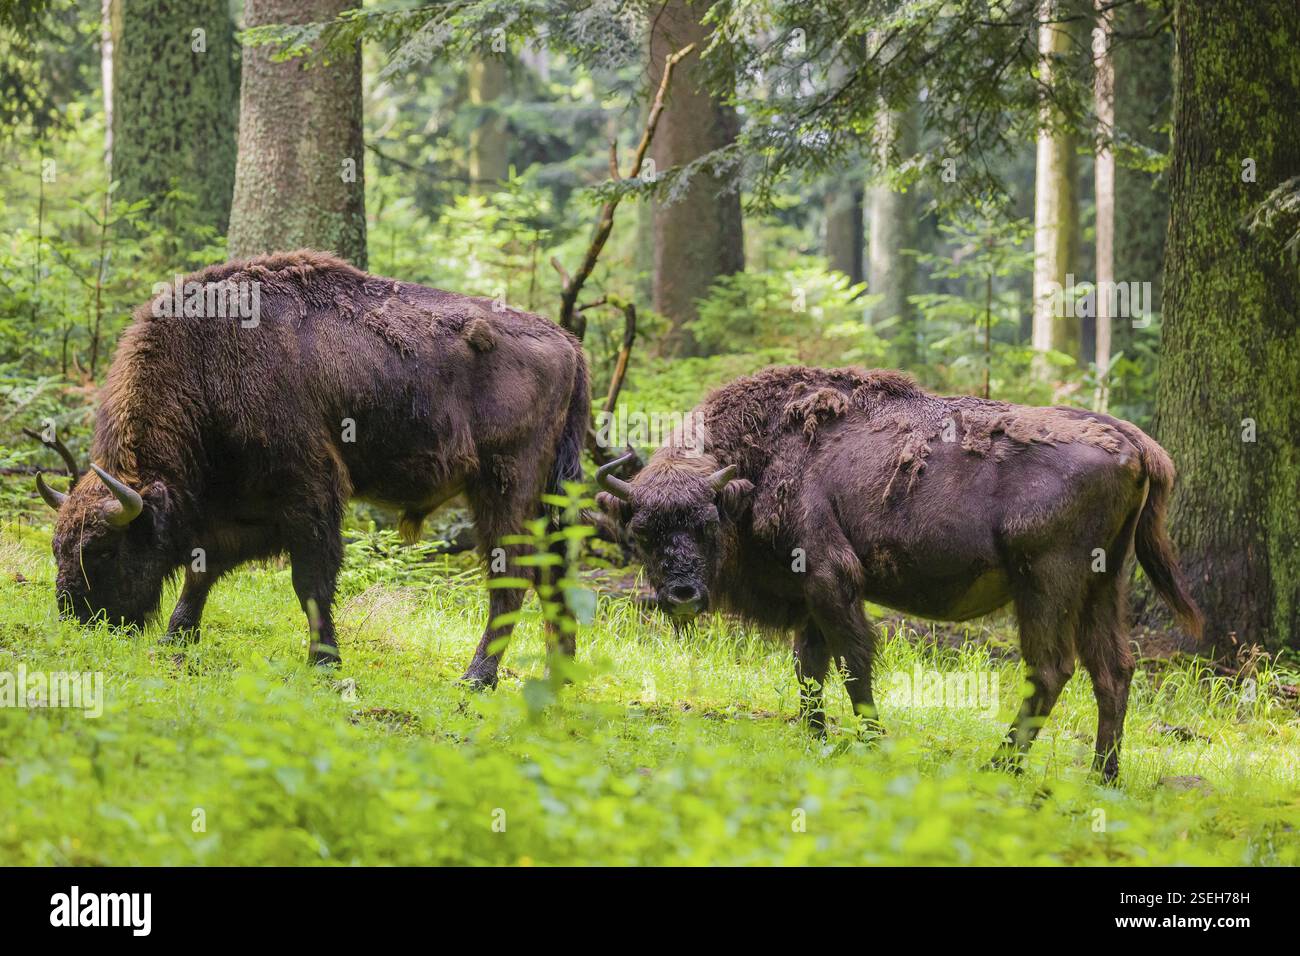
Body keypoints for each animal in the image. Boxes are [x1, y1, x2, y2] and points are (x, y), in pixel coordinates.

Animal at [36, 250, 588, 685]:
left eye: (104, 550)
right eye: (58, 546)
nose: (77, 617)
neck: (206, 361)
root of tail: (568, 342)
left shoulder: (310, 492)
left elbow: (310, 581)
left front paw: (324, 662)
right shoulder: (240, 509)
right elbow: (203, 570)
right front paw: (177, 638)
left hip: (503, 487)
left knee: (511, 575)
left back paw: (476, 678)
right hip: (545, 497)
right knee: (553, 574)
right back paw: (557, 675)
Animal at [596, 365, 1203, 782]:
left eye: (706, 523)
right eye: (641, 530)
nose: (681, 594)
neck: (753, 468)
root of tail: (1132, 440)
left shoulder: (830, 577)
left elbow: (853, 663)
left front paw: (871, 742)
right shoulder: (812, 597)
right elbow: (809, 668)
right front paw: (816, 738)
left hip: (1045, 584)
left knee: (1052, 669)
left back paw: (1000, 767)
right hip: (1106, 582)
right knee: (1113, 670)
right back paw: (1103, 777)